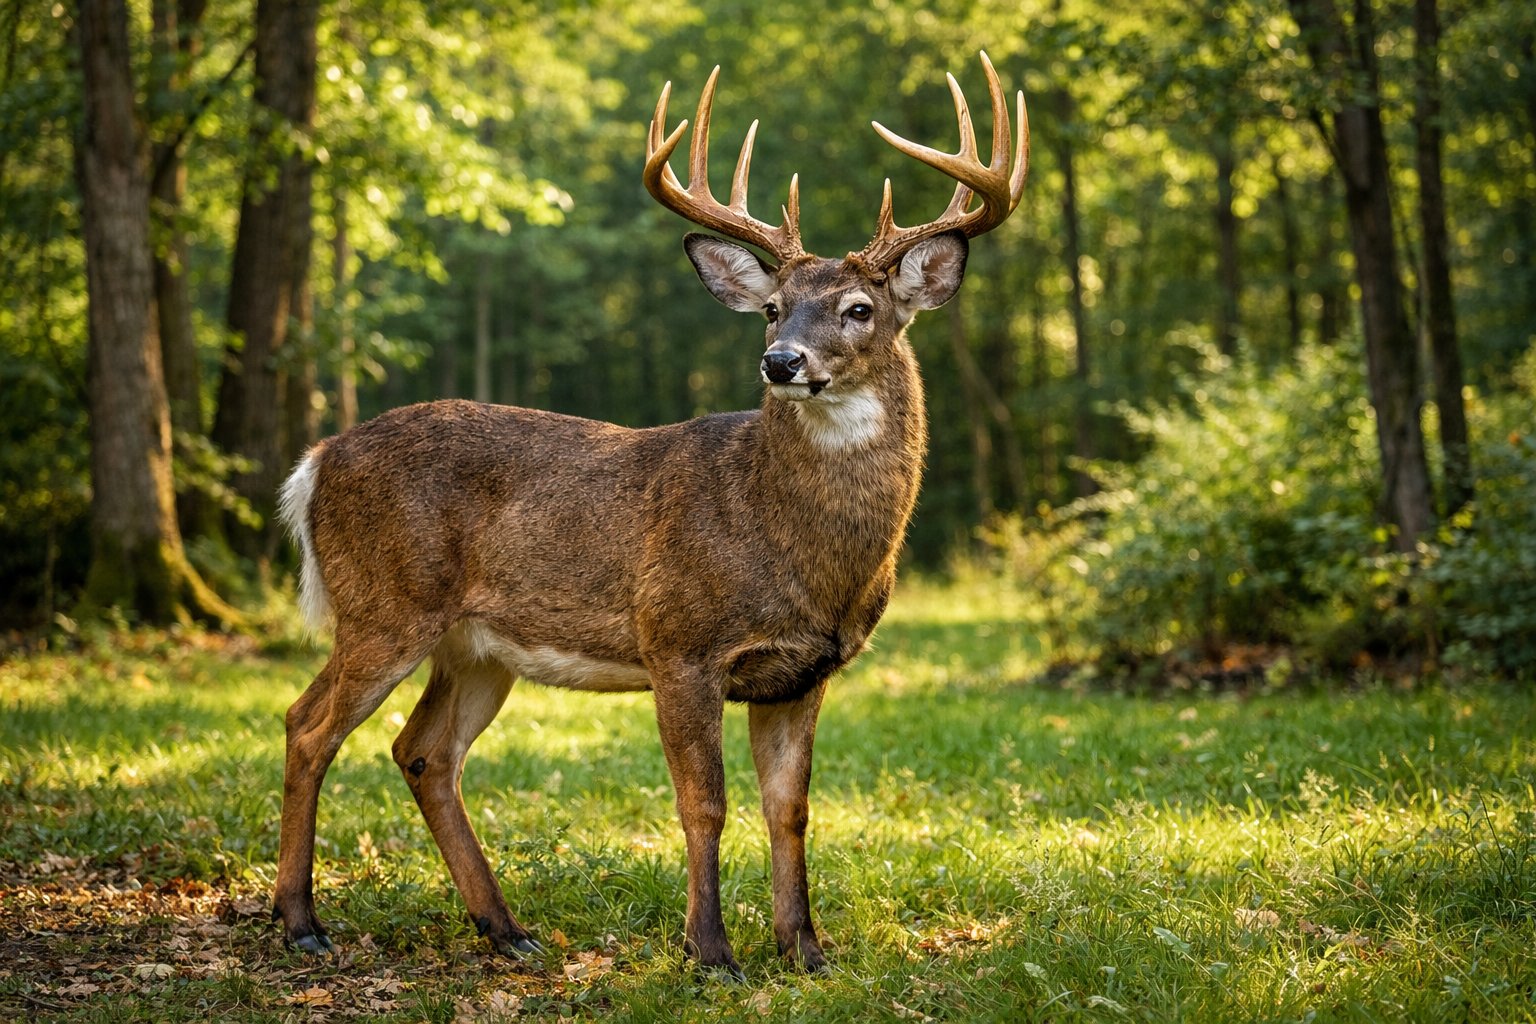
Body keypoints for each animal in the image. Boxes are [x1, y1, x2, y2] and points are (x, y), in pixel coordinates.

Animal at [272, 51, 1027, 978]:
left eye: (860, 309)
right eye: (772, 308)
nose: (781, 361)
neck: (798, 552)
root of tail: (317, 460)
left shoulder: (805, 671)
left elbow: (790, 810)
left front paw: (806, 950)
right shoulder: (680, 643)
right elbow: (705, 805)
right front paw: (711, 953)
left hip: (476, 645)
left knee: (424, 751)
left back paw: (508, 929)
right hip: (384, 603)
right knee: (307, 726)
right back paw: (301, 919)